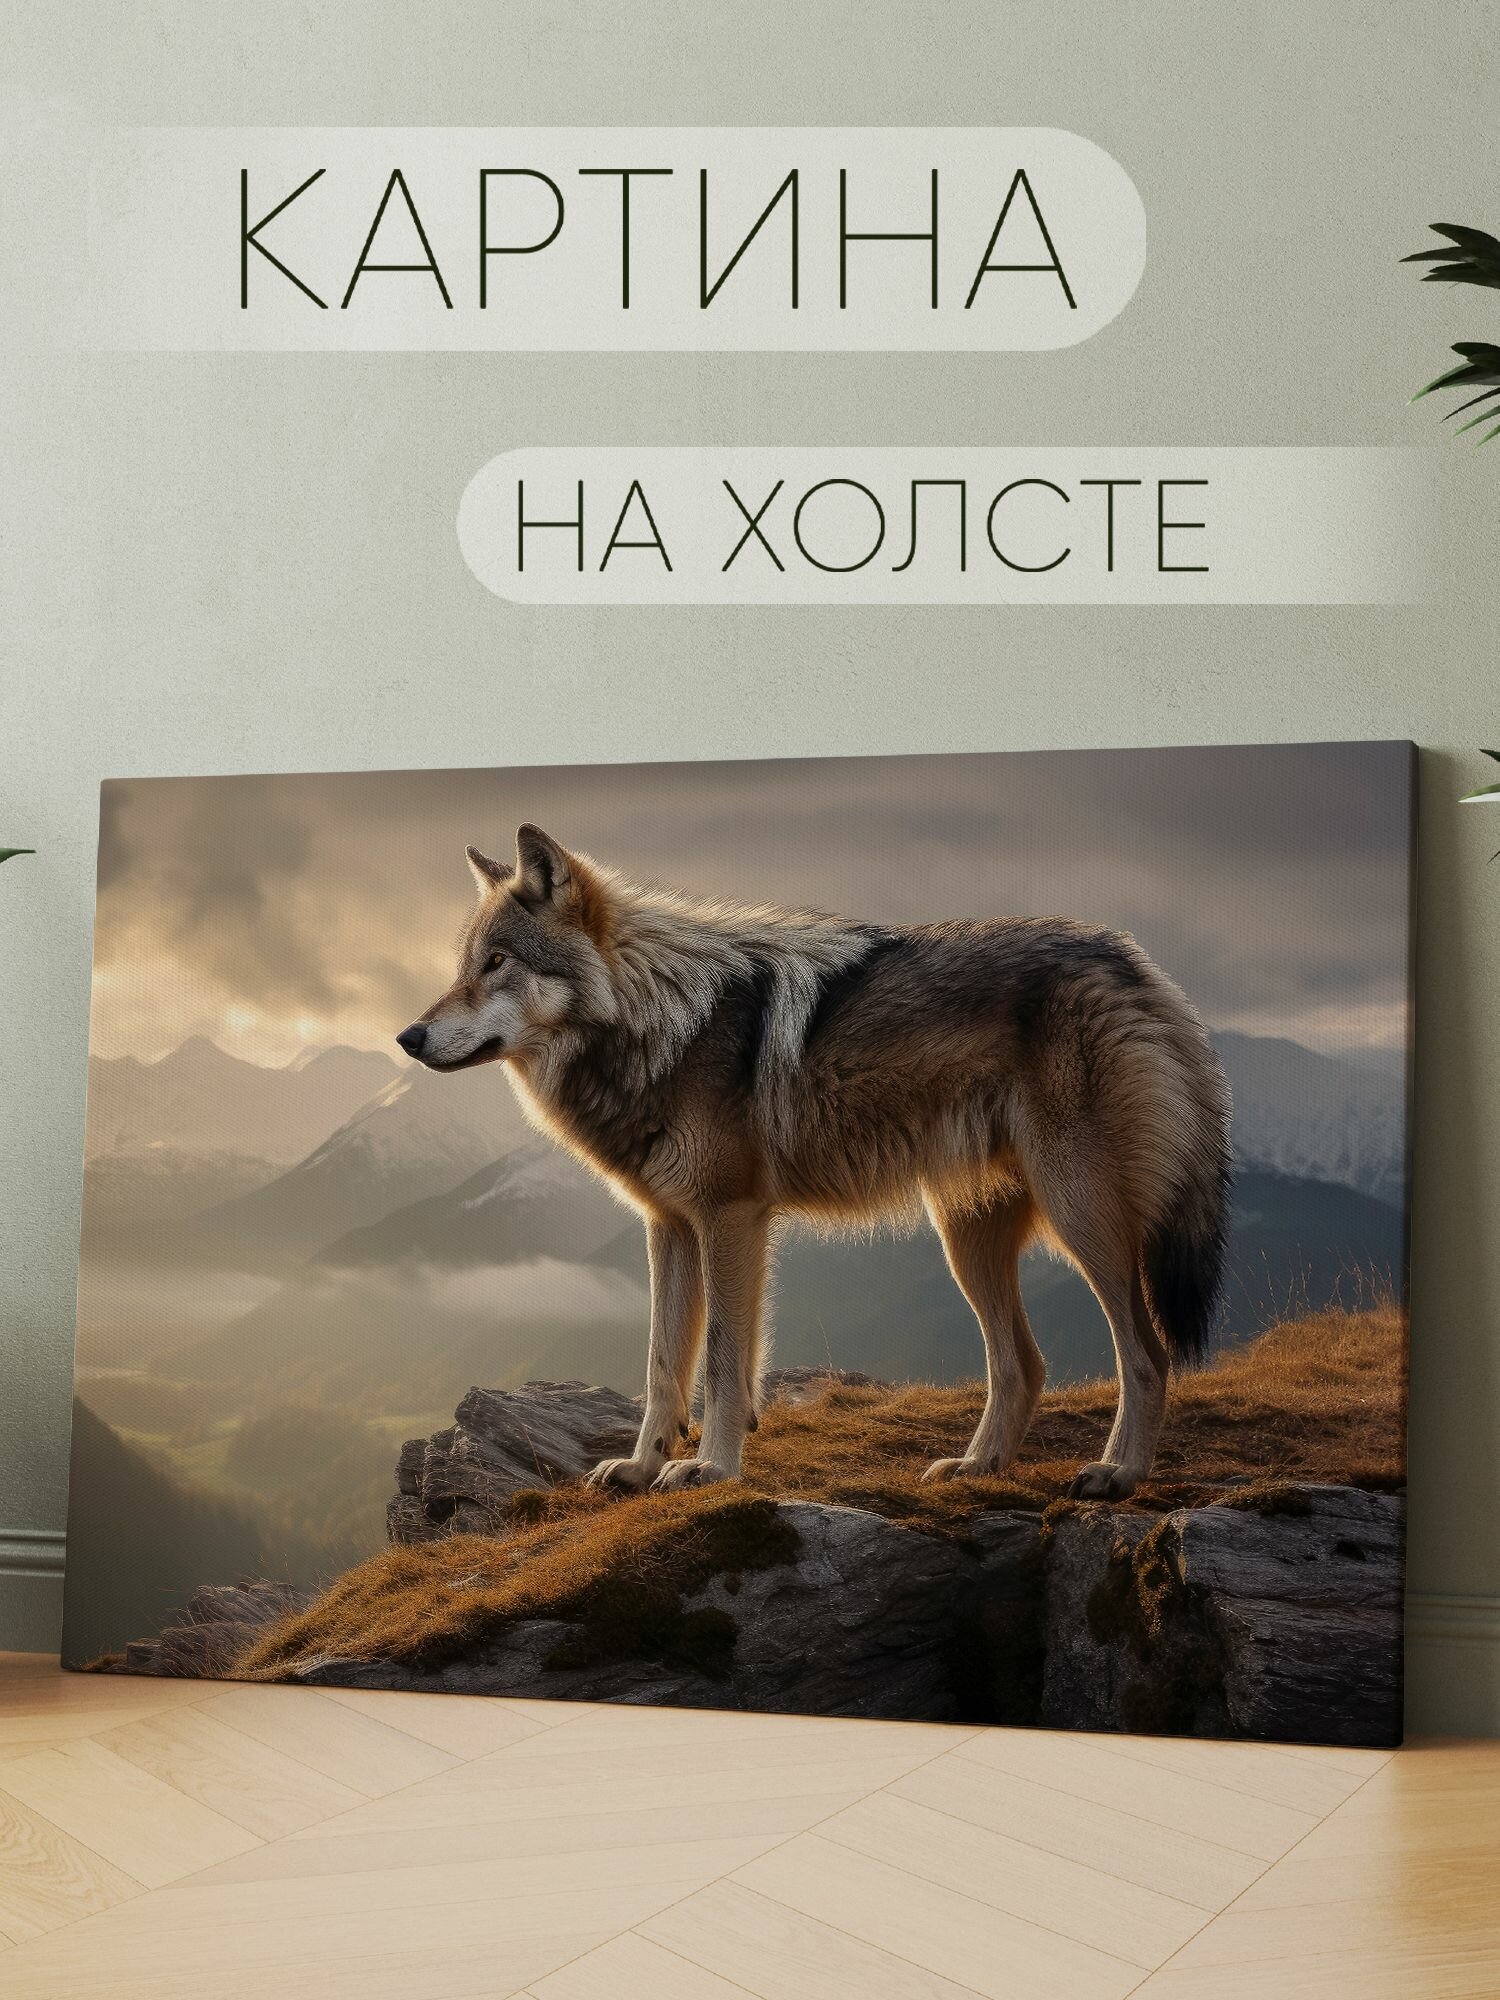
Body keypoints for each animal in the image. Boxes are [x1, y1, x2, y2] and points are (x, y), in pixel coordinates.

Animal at [397, 825, 1232, 1500]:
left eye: (497, 962)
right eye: (463, 967)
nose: (407, 1037)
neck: (659, 1025)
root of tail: (1134, 961)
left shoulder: (731, 1218)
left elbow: (722, 1362)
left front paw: (710, 1468)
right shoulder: (669, 1226)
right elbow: (662, 1365)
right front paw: (640, 1467)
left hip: (1080, 1215)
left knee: (1147, 1353)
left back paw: (1119, 1471)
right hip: (966, 1237)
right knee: (1022, 1364)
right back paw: (976, 1466)